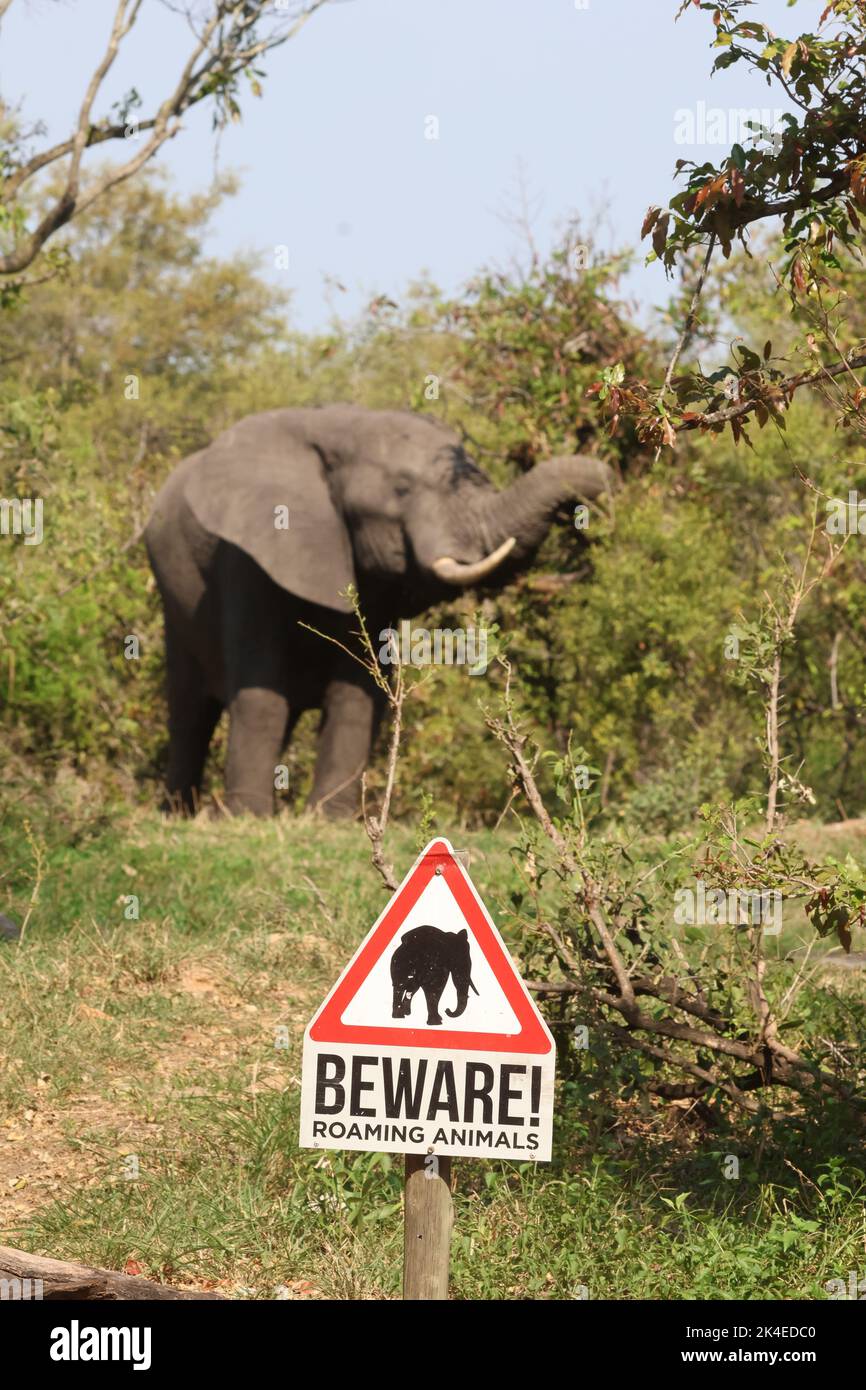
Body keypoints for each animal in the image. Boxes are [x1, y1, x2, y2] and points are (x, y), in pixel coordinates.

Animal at [144, 404, 611, 817]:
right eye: (402, 488)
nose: (592, 511)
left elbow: (359, 694)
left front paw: (328, 820)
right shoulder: (247, 557)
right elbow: (261, 693)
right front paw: (246, 818)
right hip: (174, 597)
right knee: (189, 711)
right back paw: (179, 814)